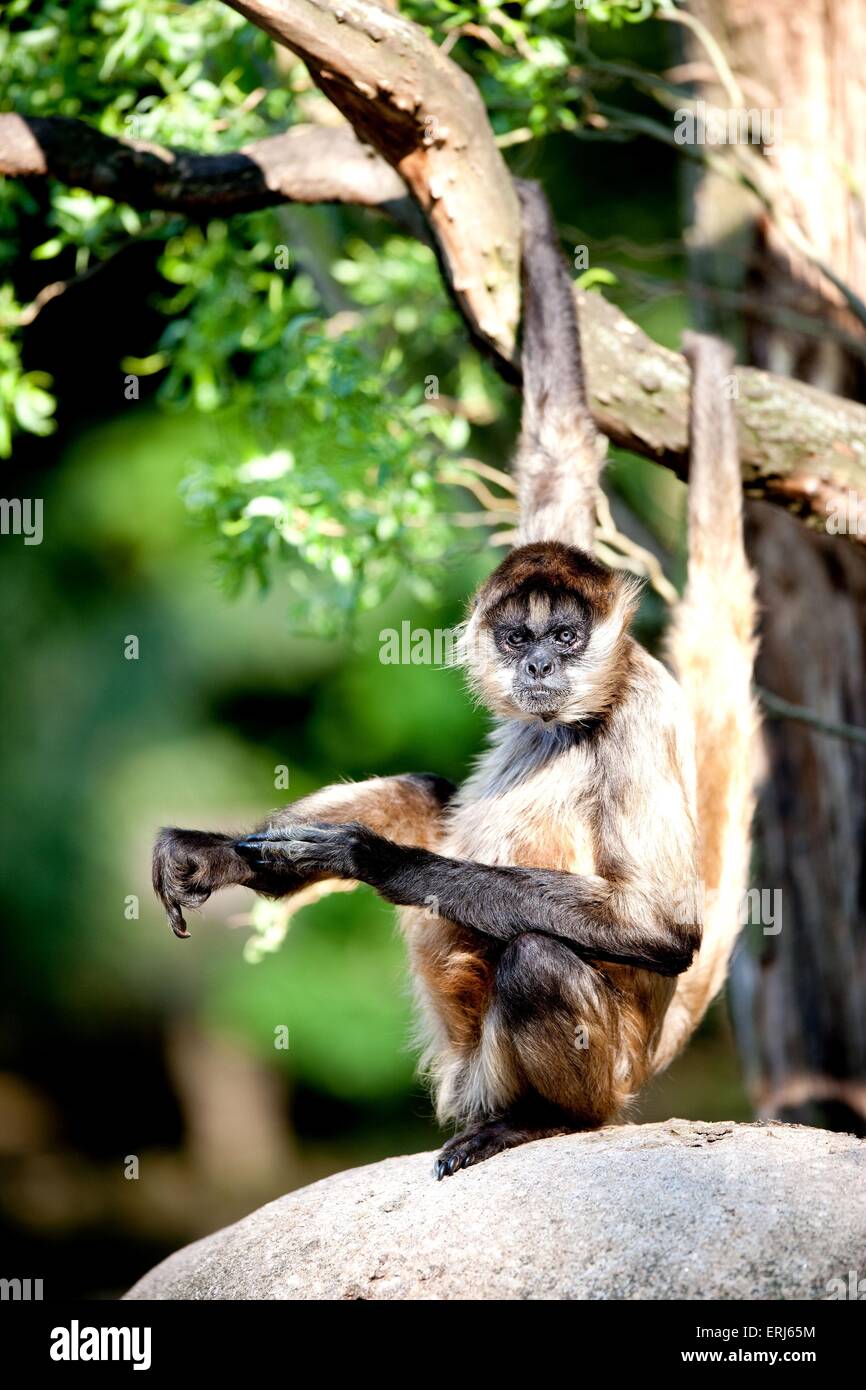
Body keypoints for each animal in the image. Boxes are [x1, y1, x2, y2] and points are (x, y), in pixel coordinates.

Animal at [152, 180, 758, 1178]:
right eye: (518, 639)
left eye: (566, 636)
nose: (541, 665)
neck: (572, 719)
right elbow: (560, 450)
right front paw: (531, 221)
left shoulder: (638, 706)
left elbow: (664, 925)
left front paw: (378, 861)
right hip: (464, 1052)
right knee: (425, 787)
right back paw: (243, 859)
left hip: (574, 1068)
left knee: (538, 958)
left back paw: (544, 1122)